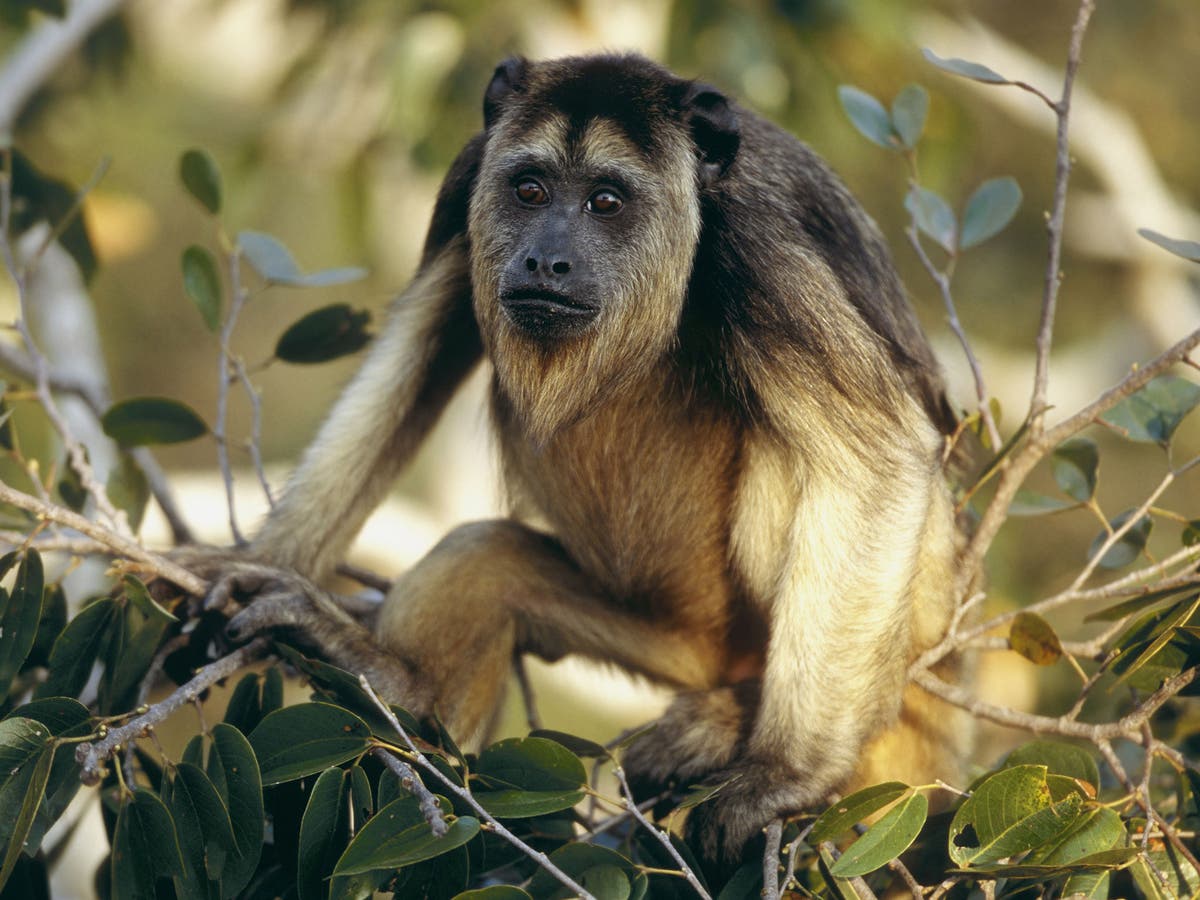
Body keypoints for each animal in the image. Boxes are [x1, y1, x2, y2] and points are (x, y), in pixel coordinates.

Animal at [185, 53, 971, 867]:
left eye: (606, 201)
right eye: (529, 190)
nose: (546, 259)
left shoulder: (758, 245)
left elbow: (878, 456)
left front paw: (788, 776)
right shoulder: (466, 186)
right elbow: (417, 352)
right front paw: (260, 563)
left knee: (795, 458)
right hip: (665, 641)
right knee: (483, 554)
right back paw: (396, 682)